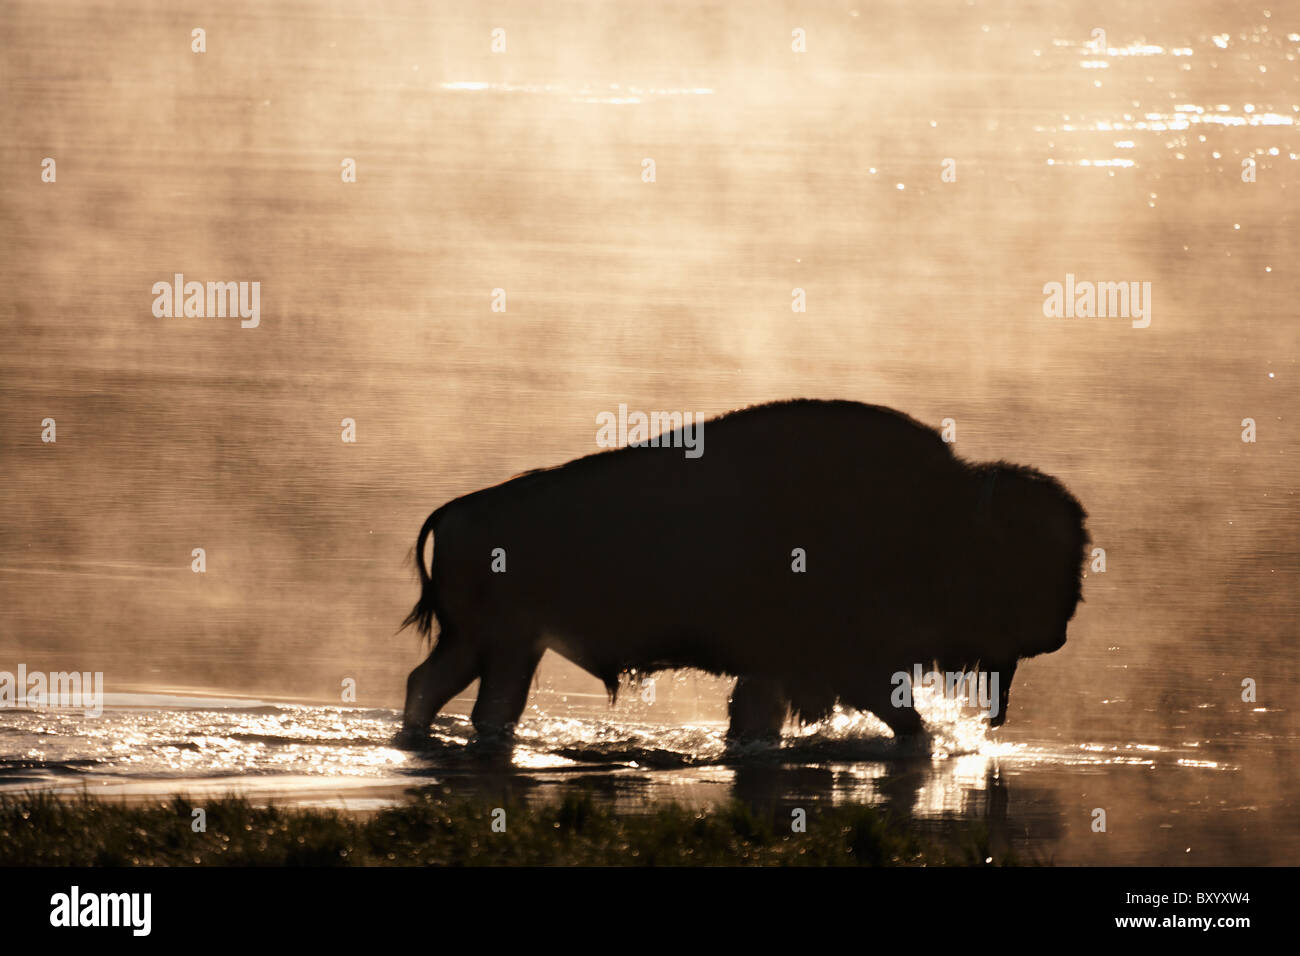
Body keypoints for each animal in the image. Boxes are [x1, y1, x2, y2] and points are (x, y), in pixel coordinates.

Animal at [395, 399, 1088, 749]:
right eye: (1025, 563)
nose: (1057, 634)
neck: (942, 518)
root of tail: (456, 513)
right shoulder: (842, 664)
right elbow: (902, 721)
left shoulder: (785, 670)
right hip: (502, 645)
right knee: (459, 699)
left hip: (500, 648)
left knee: (442, 690)